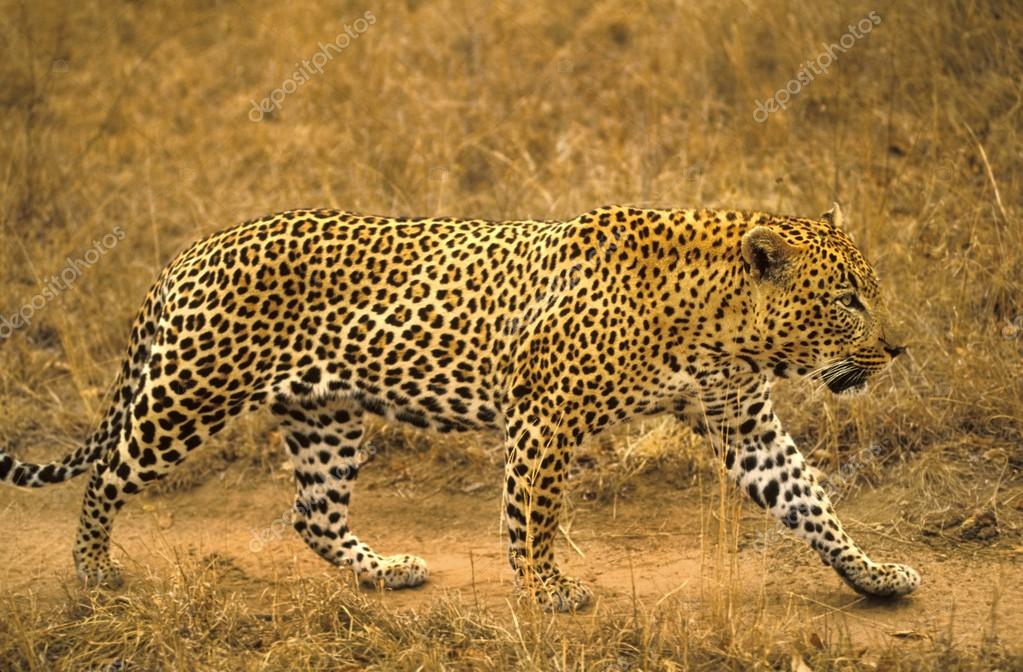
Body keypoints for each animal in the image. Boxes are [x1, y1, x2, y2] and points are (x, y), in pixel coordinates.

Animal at [0, 203, 921, 611]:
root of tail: (193, 249)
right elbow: (534, 514)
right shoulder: (547, 416)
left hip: (327, 415)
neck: (720, 323)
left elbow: (811, 504)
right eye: (846, 301)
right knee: (106, 477)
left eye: (871, 291)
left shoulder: (744, 425)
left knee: (313, 515)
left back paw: (384, 571)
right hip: (189, 392)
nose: (901, 345)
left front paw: (873, 575)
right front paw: (547, 589)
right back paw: (92, 571)